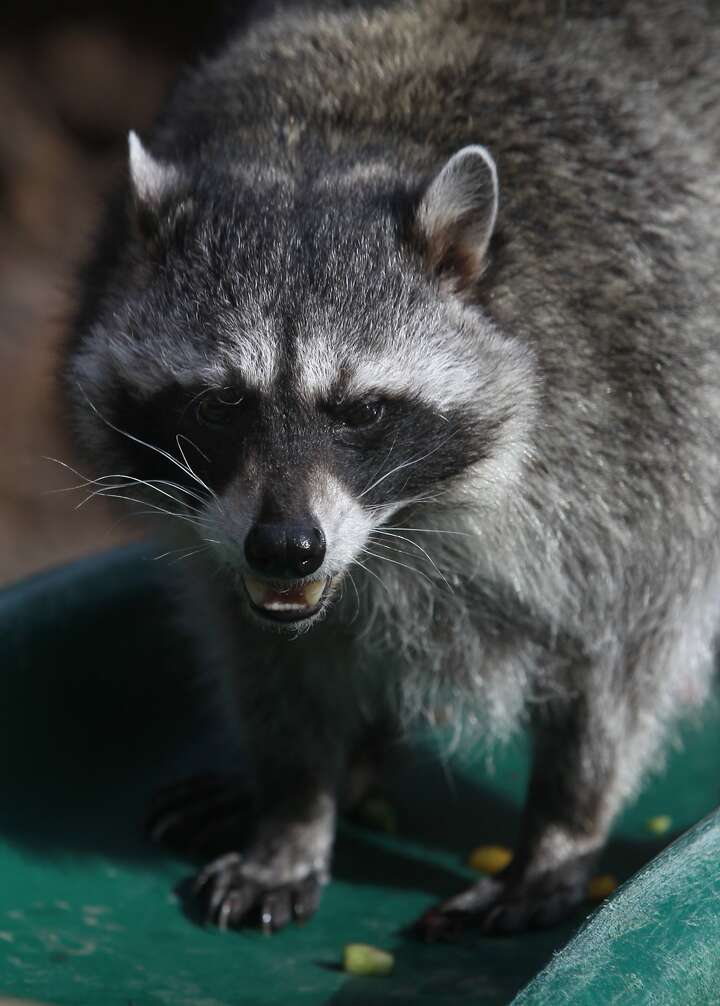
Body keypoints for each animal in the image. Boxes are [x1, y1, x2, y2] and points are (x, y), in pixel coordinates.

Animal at [62, 0, 720, 937]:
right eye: (220, 406)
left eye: (363, 411)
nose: (287, 548)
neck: (337, 139)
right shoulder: (222, 542)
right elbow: (266, 653)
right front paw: (295, 801)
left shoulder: (645, 417)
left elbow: (625, 654)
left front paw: (564, 824)